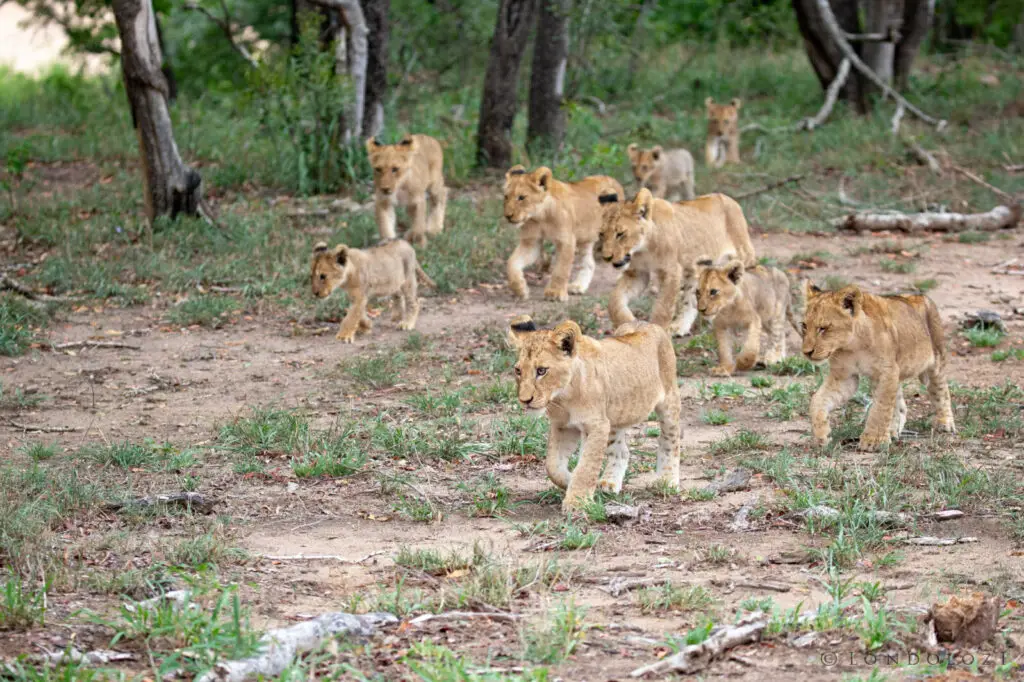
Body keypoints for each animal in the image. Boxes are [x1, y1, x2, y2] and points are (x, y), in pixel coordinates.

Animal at [503, 165, 624, 302]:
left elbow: (561, 269)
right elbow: (512, 263)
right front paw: (520, 289)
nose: (508, 216)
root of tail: (613, 180)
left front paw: (555, 293)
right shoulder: (531, 242)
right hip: (585, 238)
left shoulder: (566, 240)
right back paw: (578, 286)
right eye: (506, 197)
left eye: (521, 197)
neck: (540, 217)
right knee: (590, 263)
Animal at [507, 315, 680, 512]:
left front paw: (577, 501)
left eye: (541, 370)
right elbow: (552, 465)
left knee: (669, 441)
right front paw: (570, 481)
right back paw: (609, 483)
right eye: (518, 370)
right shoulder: (563, 426)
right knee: (621, 451)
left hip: (669, 402)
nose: (524, 400)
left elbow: (587, 465)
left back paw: (667, 480)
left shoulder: (597, 425)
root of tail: (644, 322)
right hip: (614, 417)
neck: (563, 398)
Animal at [597, 189, 756, 338]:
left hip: (743, 256)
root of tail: (727, 198)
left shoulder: (671, 271)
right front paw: (627, 322)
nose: (607, 257)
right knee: (690, 299)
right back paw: (681, 326)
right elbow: (614, 301)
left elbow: (663, 308)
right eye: (602, 234)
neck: (642, 250)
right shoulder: (637, 274)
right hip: (694, 271)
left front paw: (657, 333)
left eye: (620, 234)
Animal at [802, 283, 956, 451]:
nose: (806, 352)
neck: (852, 346)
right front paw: (822, 436)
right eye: (804, 326)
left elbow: (880, 408)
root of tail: (920, 296)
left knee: (941, 391)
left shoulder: (886, 372)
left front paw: (873, 441)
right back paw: (893, 431)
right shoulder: (844, 376)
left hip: (936, 361)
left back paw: (945, 423)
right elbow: (817, 400)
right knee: (900, 407)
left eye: (823, 328)